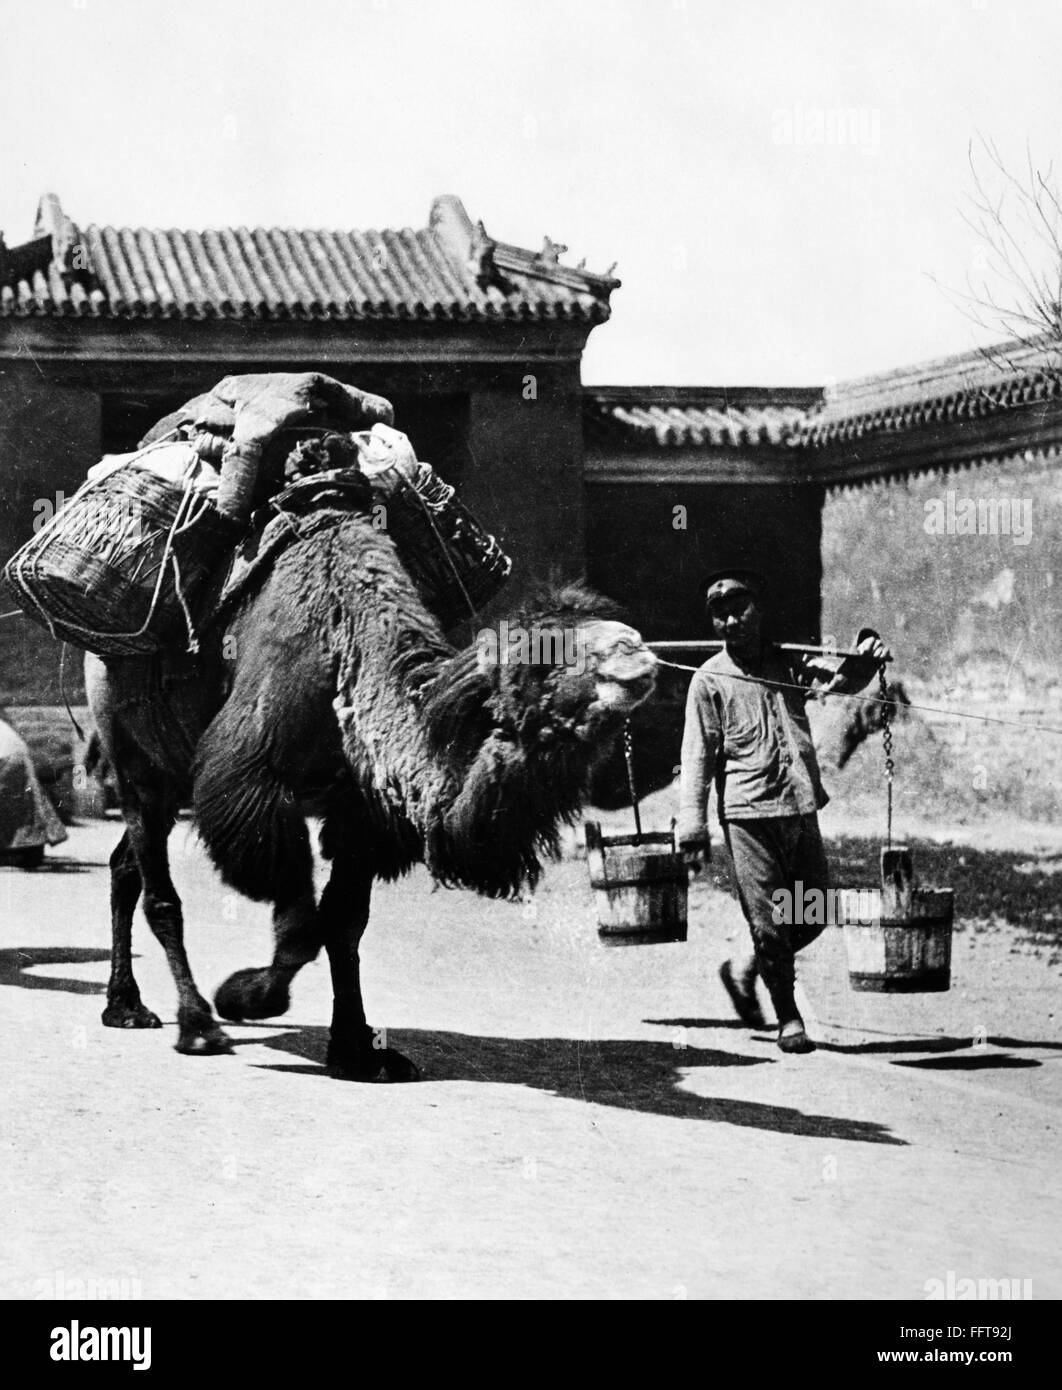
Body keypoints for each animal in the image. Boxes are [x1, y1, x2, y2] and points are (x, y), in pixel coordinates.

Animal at [86, 486, 656, 1081]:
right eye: (544, 662)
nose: (634, 649)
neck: (346, 654)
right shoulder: (254, 785)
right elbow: (301, 928)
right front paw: (244, 998)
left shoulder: (360, 811)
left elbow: (342, 923)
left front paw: (358, 1049)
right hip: (134, 756)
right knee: (159, 892)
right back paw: (193, 1025)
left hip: (173, 772)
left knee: (125, 866)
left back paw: (125, 1006)